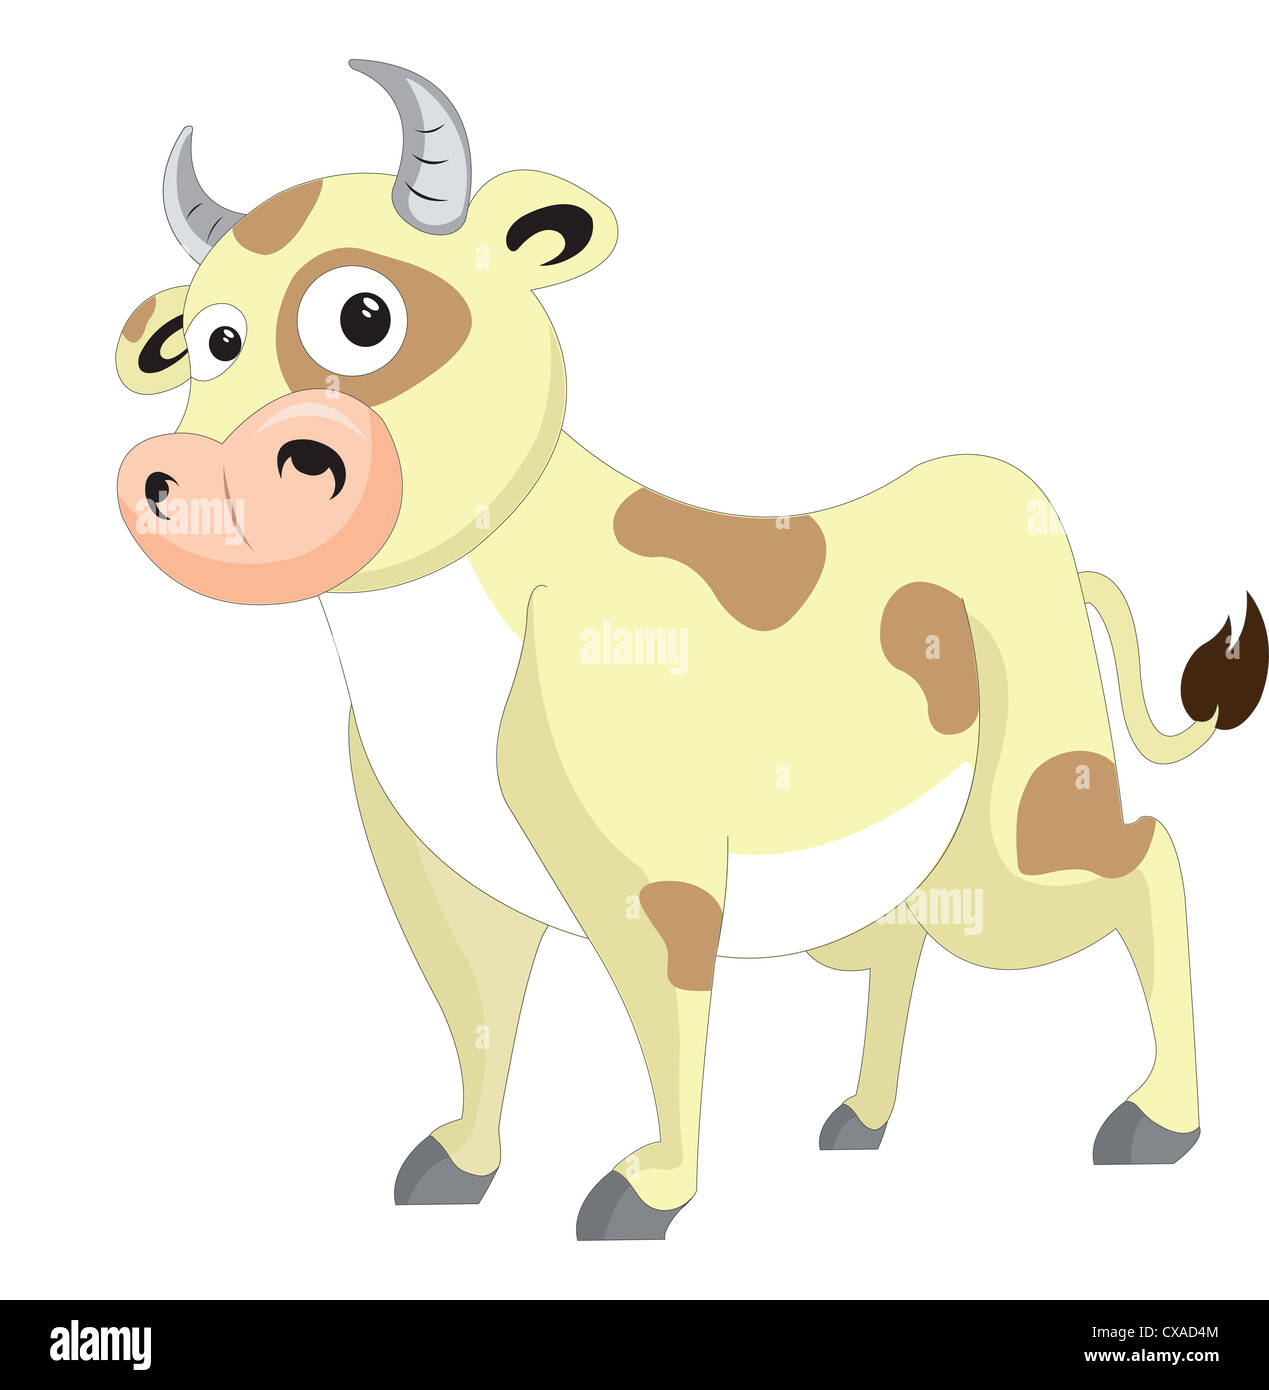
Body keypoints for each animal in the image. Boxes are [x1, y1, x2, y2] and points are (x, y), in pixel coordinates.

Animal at [116, 60, 1267, 1240]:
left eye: (363, 314)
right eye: (211, 342)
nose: (190, 472)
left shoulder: (652, 865)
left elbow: (662, 1012)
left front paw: (647, 1190)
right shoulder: (434, 870)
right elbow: (478, 1015)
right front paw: (460, 1163)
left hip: (1025, 822)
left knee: (1148, 860)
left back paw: (1159, 1121)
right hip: (929, 862)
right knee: (908, 931)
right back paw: (862, 1118)